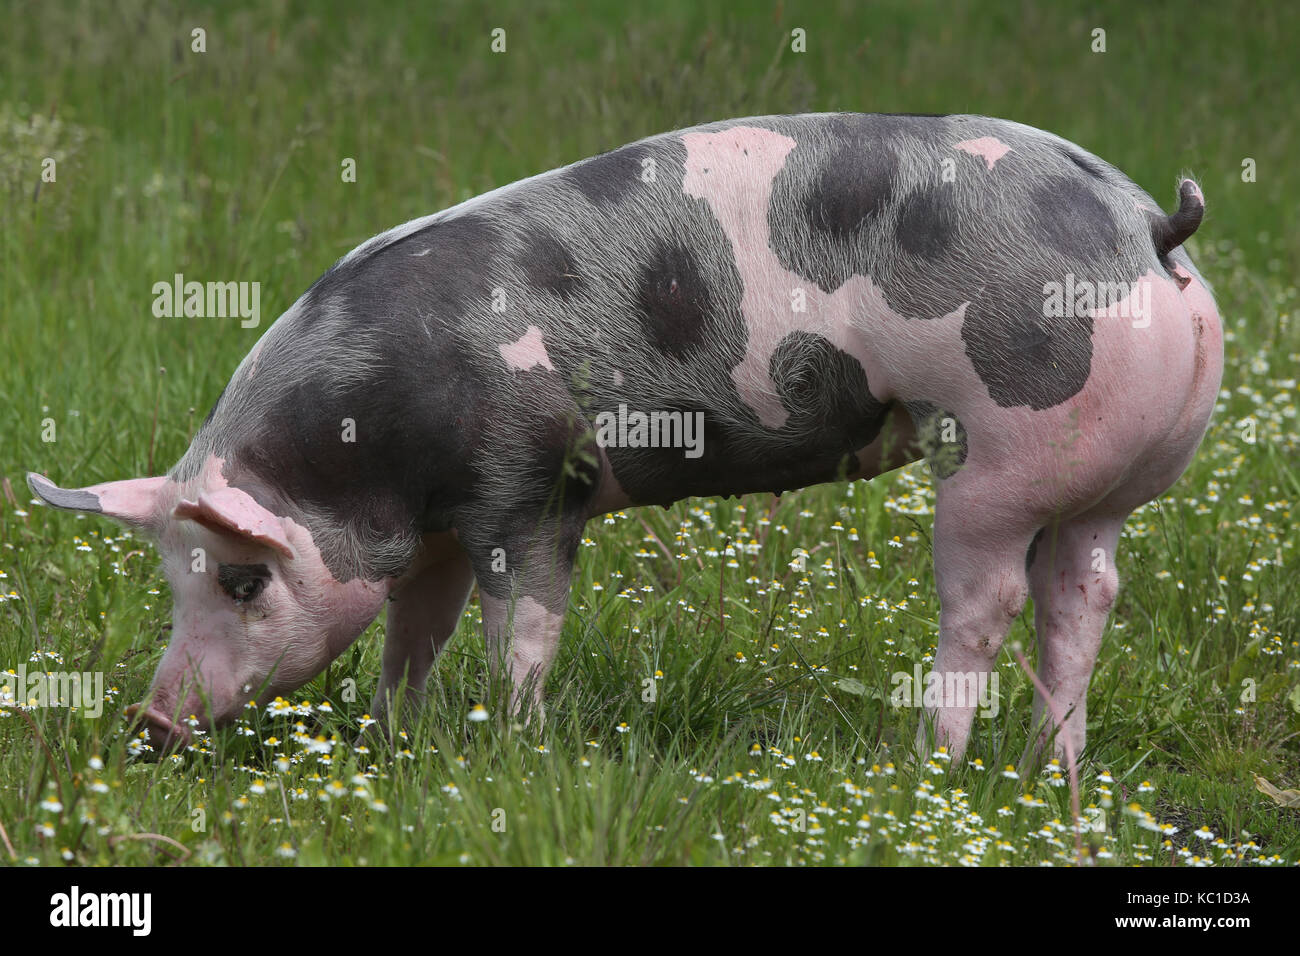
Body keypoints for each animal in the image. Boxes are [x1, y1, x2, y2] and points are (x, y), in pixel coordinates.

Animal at [27, 113, 1221, 763]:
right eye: (173, 579)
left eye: (241, 579)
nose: (151, 720)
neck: (370, 455)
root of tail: (1145, 226)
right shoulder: (439, 525)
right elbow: (416, 628)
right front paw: (391, 739)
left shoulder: (528, 486)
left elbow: (522, 625)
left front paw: (511, 745)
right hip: (1115, 479)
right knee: (1084, 597)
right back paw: (1050, 776)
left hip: (1000, 453)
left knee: (990, 600)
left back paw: (927, 766)